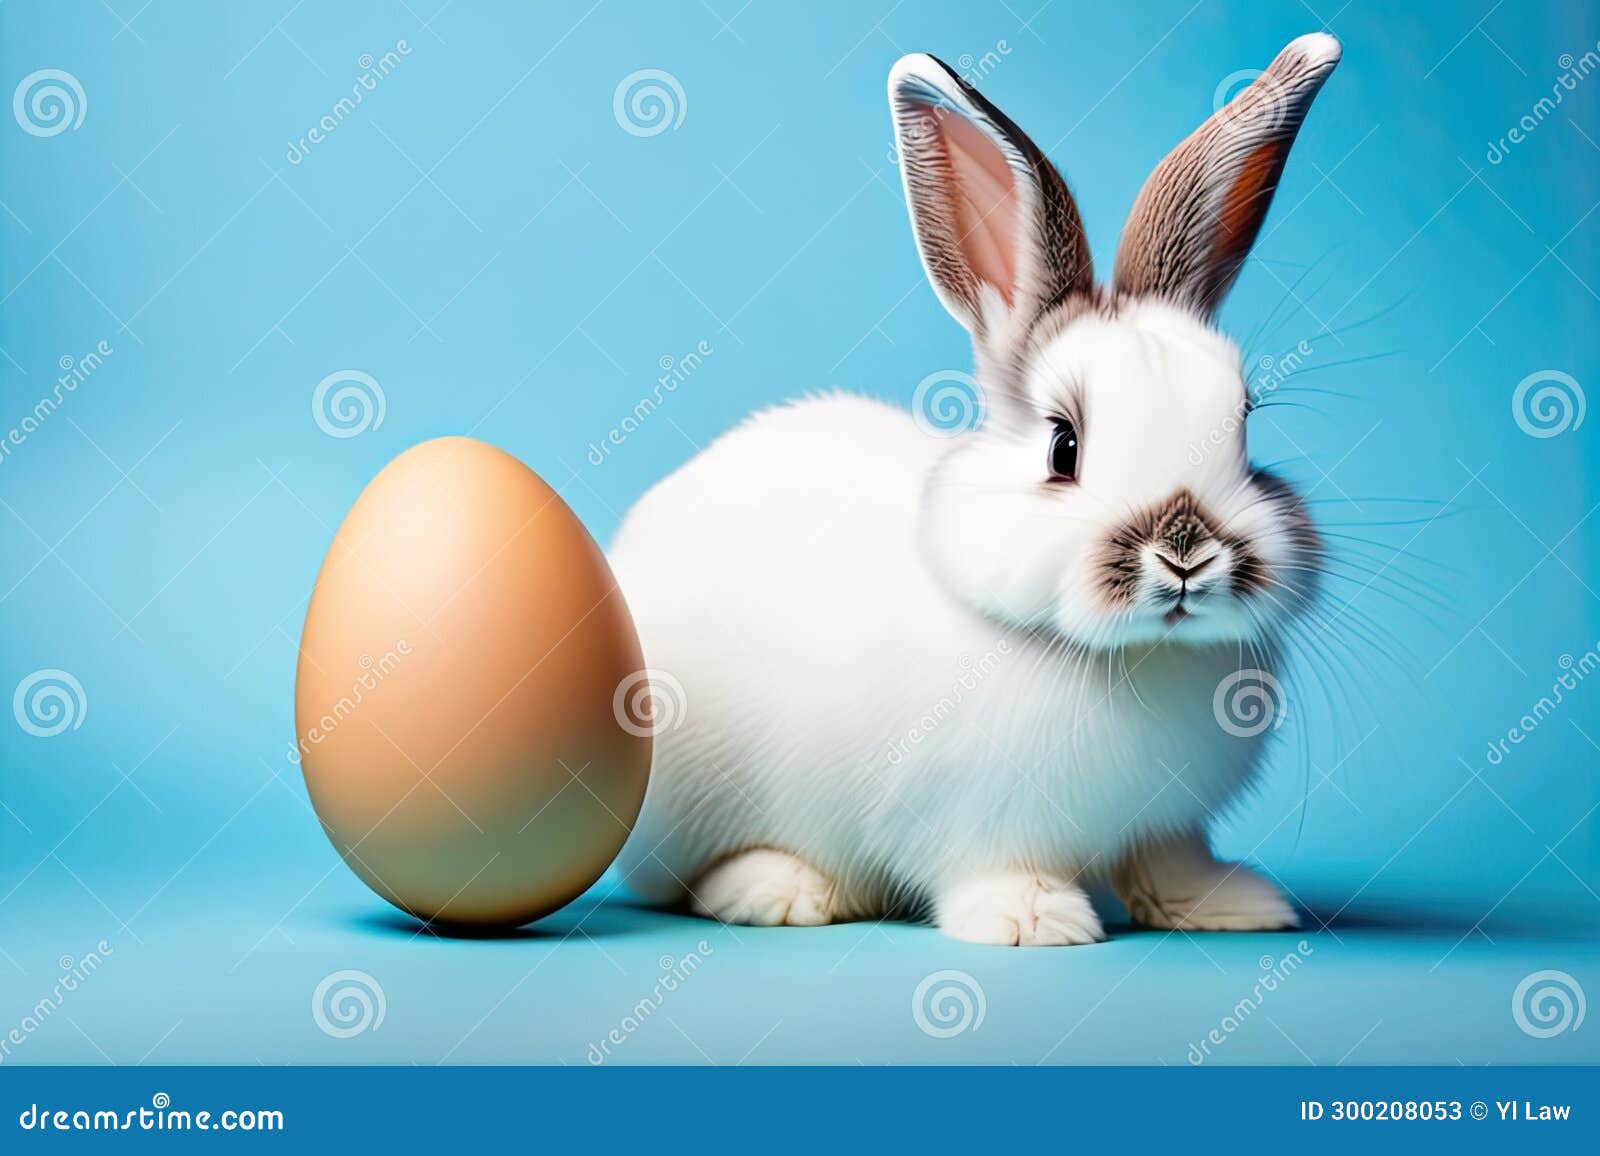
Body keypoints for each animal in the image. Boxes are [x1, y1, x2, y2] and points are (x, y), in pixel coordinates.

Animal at [608, 34, 1340, 945]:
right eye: (1064, 446)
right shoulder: (972, 823)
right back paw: (780, 888)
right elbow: (994, 866)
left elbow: (1170, 862)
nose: (1184, 552)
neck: (1127, 655)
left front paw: (1230, 903)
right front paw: (1031, 919)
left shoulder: (1168, 824)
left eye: (1244, 424)